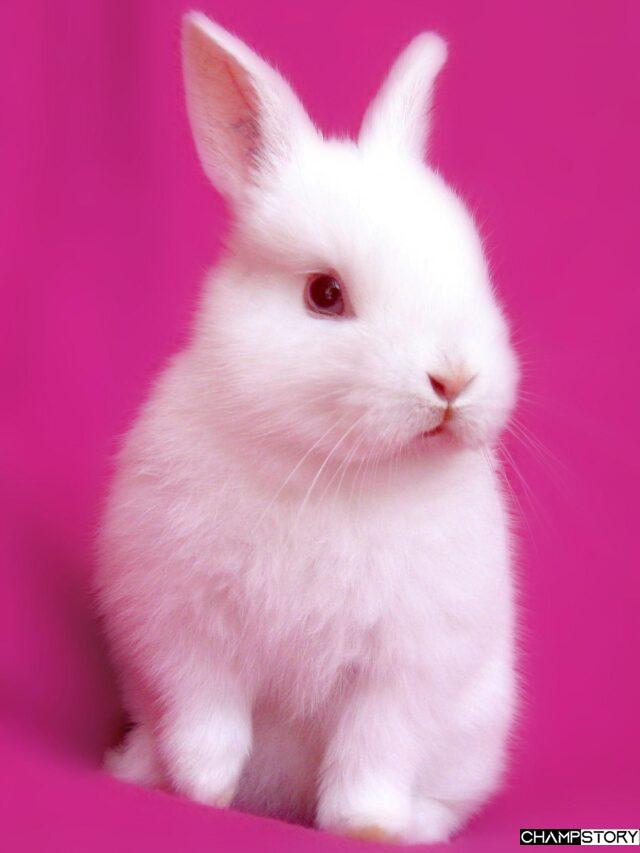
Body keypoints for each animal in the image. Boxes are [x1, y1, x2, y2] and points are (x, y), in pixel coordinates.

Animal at [97, 11, 520, 845]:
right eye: (324, 294)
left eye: (475, 271)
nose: (453, 381)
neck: (336, 467)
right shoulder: (183, 625)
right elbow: (206, 721)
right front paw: (201, 792)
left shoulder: (404, 669)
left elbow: (373, 753)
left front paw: (367, 827)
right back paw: (134, 769)